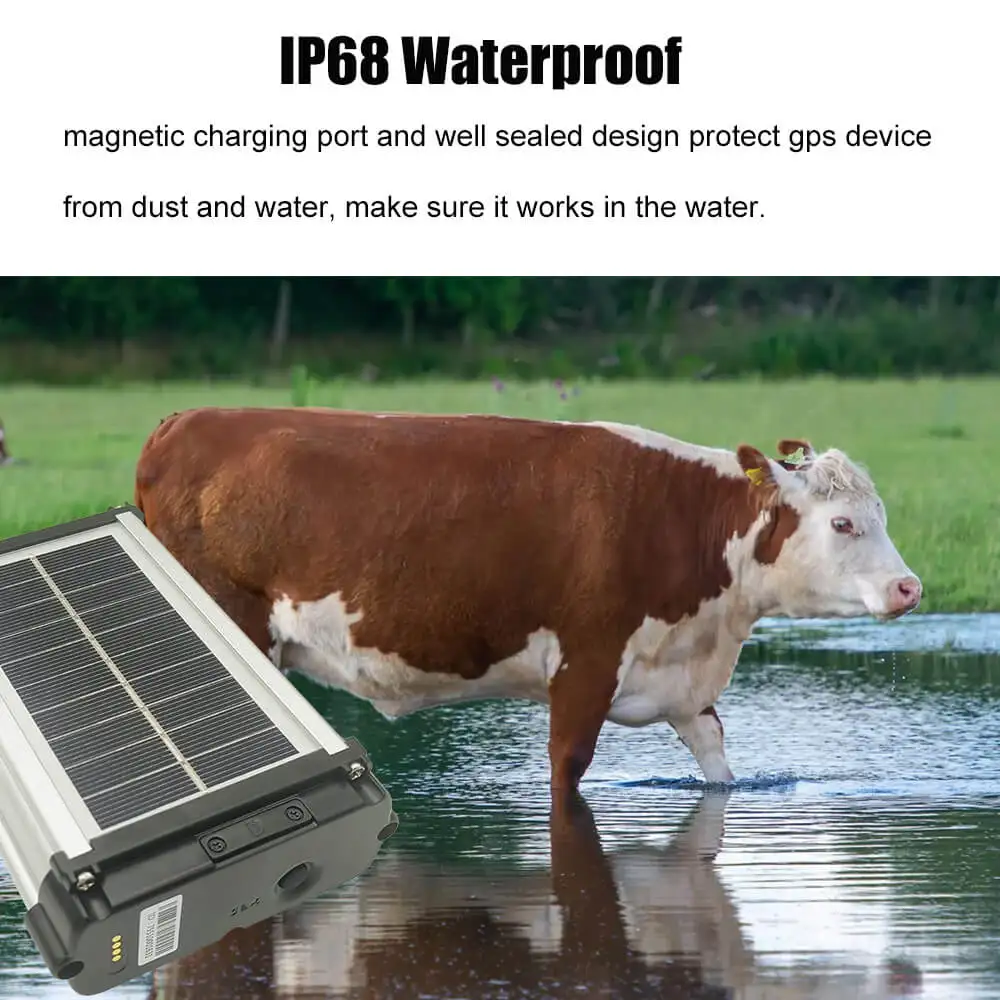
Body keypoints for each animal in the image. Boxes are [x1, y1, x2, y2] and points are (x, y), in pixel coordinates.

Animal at [134, 407, 921, 795]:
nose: (908, 586)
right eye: (843, 524)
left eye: (883, 514)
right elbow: (567, 770)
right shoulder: (585, 664)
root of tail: (185, 419)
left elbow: (718, 763)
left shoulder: (684, 687)